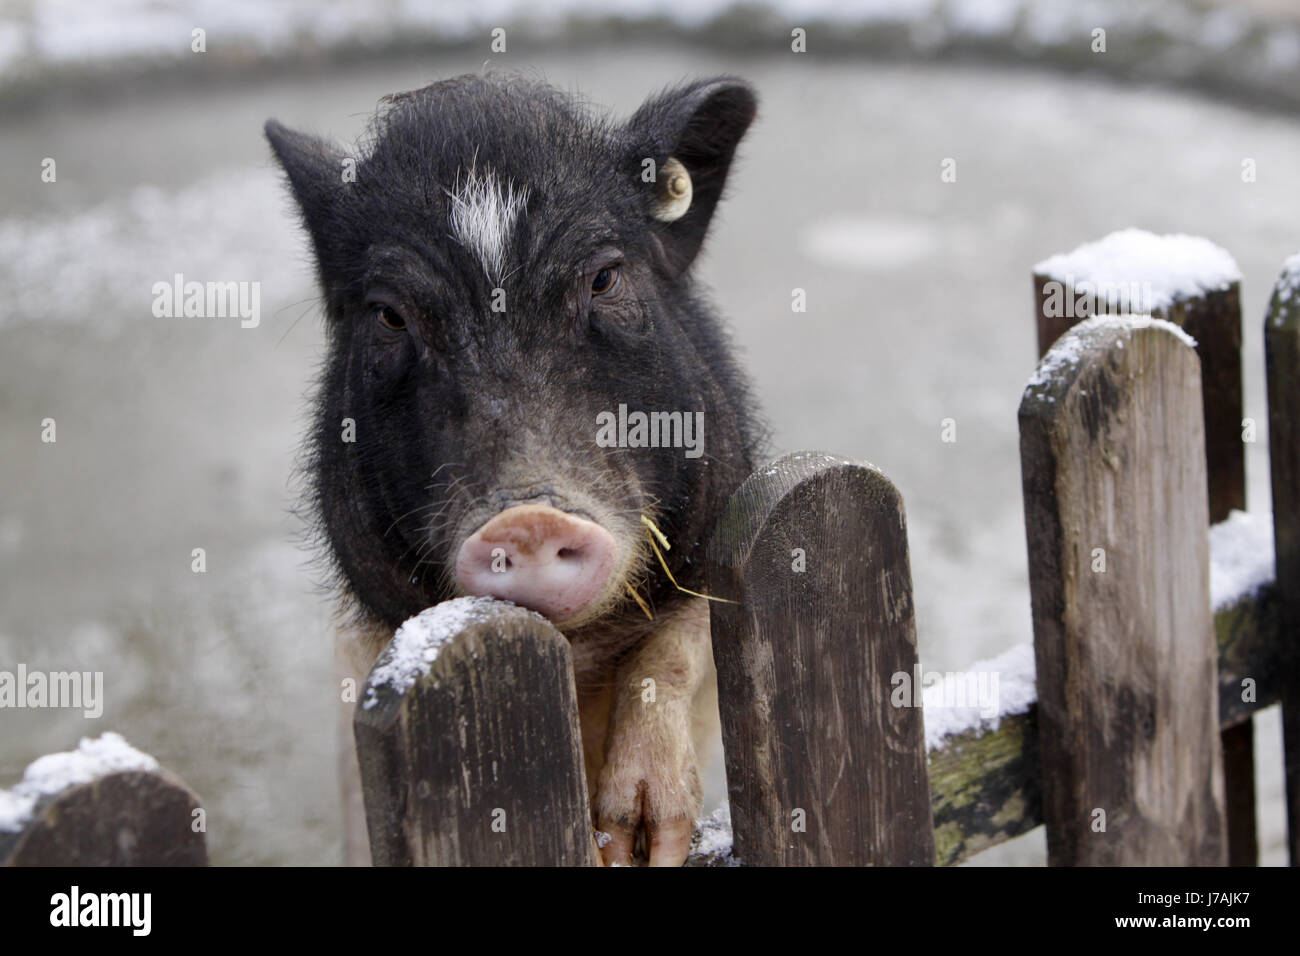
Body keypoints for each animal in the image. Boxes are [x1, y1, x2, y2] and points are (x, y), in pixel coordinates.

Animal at [265, 72, 760, 866]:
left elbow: (676, 649)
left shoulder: (717, 521)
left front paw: (641, 842)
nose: (529, 519)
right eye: (390, 316)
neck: (577, 655)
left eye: (605, 278)